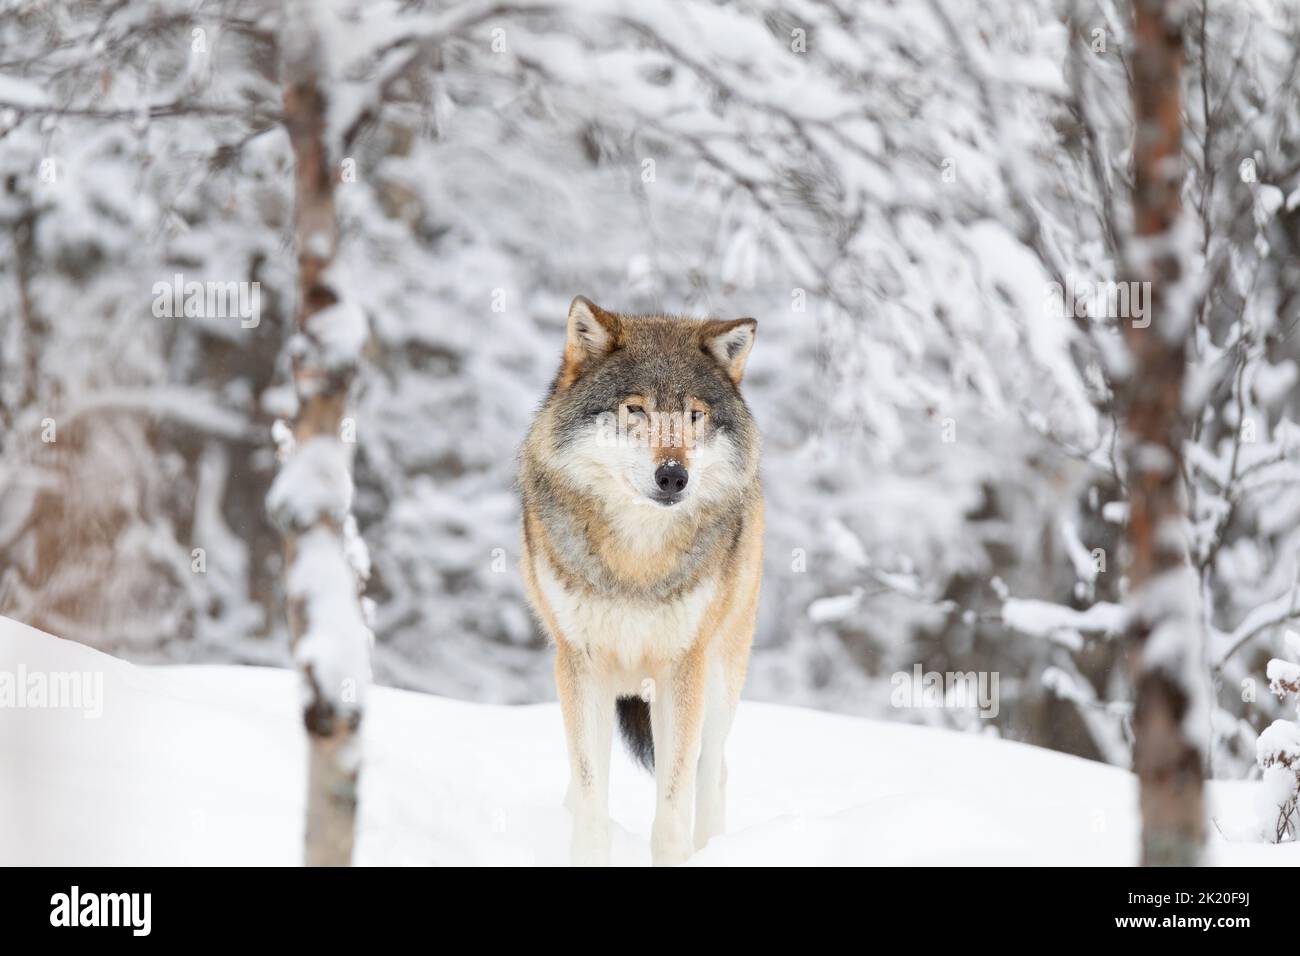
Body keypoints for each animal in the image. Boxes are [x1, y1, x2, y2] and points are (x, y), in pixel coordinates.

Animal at [517, 293, 759, 868]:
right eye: (636, 409)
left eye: (694, 415)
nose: (674, 476)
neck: (636, 560)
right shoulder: (580, 663)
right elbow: (590, 794)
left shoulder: (683, 668)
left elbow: (671, 807)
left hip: (722, 674)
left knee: (712, 769)